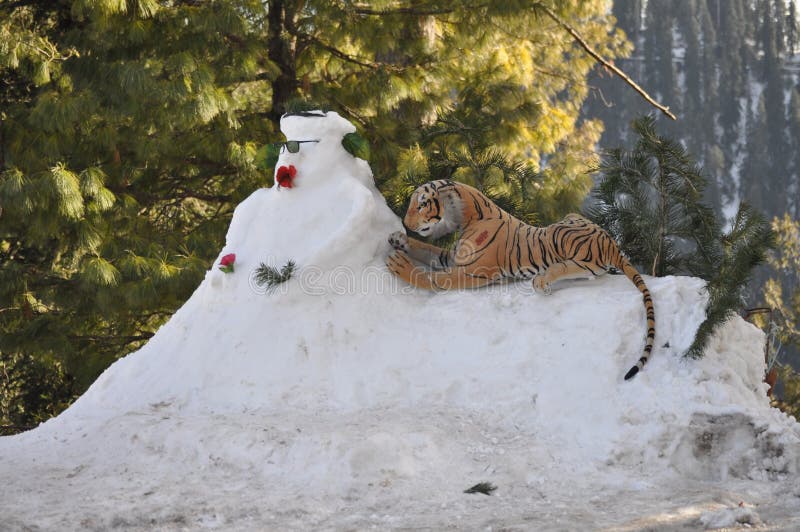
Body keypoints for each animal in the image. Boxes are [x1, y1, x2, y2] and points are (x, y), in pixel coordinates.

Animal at [386, 179, 655, 380]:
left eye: (422, 205)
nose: (406, 224)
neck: (466, 219)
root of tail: (611, 243)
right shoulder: (450, 257)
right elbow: (426, 249)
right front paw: (399, 239)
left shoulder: (472, 272)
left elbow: (433, 278)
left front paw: (400, 265)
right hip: (570, 218)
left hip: (563, 237)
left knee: (574, 266)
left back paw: (542, 281)